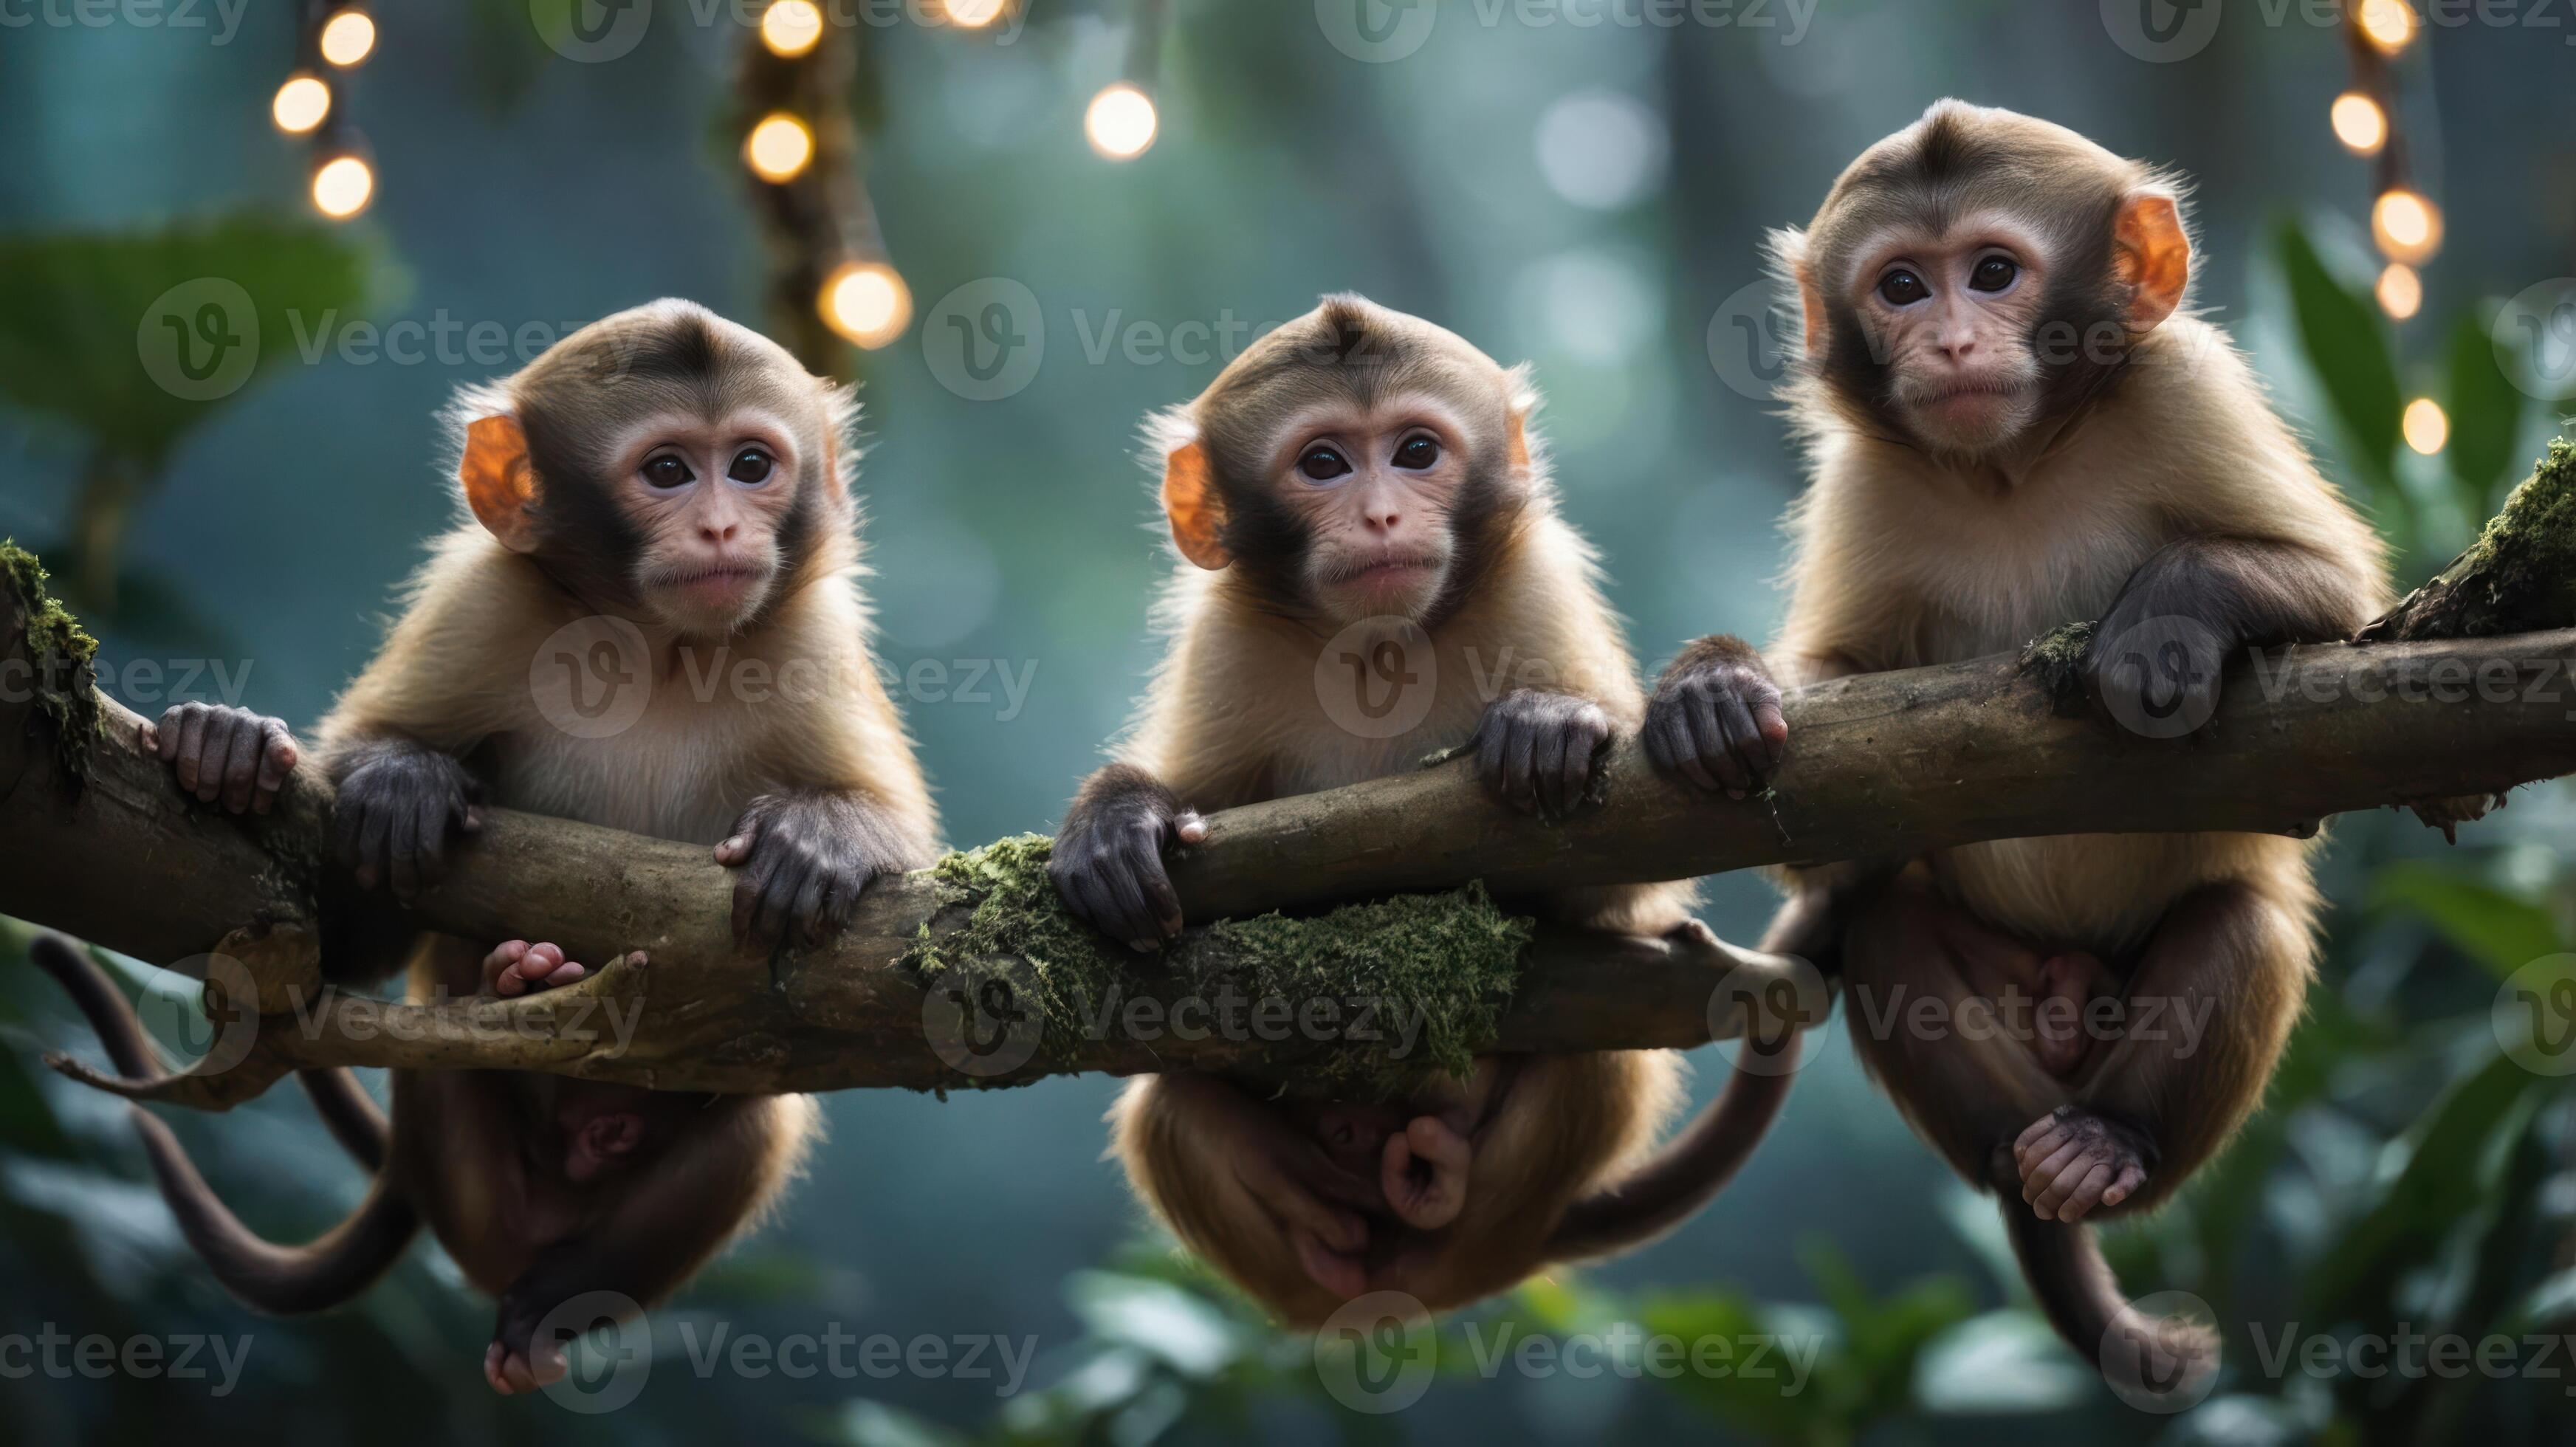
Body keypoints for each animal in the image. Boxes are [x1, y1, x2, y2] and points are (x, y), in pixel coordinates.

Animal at [36, 300, 938, 1393]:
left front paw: (818, 840)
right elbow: (343, 940)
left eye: (754, 464)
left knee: (756, 1116)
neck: (657, 648)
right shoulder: (484, 604)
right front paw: (284, 758)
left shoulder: (808, 634)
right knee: (441, 1052)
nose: (725, 527)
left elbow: (899, 887)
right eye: (669, 471)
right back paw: (521, 983)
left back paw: (559, 1297)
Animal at [1050, 295, 1805, 1328]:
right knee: (1173, 1099)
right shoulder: (1230, 644)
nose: (1381, 513)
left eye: (1416, 451)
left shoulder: (1537, 590)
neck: (1380, 651)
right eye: (1324, 463)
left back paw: (1438, 1186)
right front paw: (1117, 822)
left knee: (1598, 1059)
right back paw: (1325, 1223)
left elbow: (1627, 900)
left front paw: (1557, 724)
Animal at [1647, 102, 2392, 1378]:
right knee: (1888, 925)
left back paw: (2106, 1146)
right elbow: (1833, 771)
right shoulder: (1867, 479)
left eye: (1993, 273)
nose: (1948, 342)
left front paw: (2155, 630)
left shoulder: (2187, 389)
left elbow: (2340, 596)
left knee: (2236, 922)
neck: (2014, 468)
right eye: (1901, 285)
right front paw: (1718, 684)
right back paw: (2020, 1153)